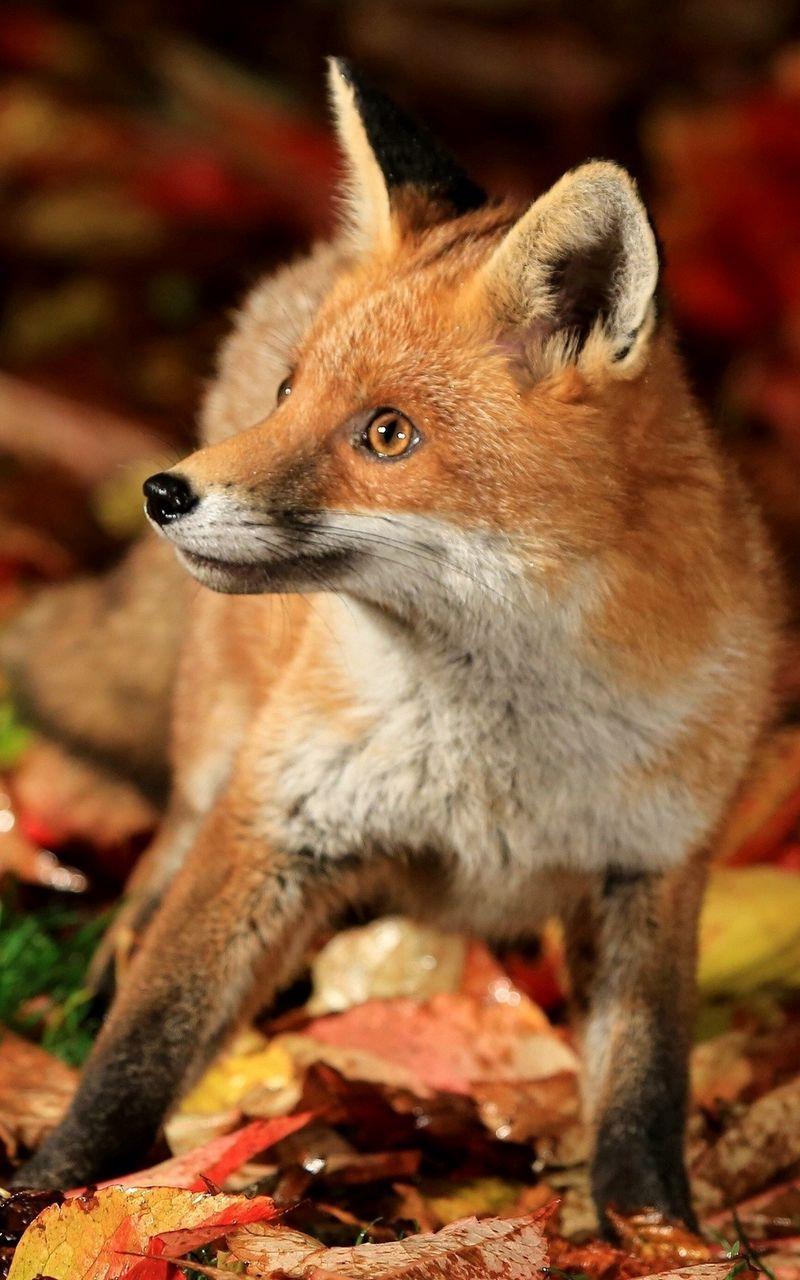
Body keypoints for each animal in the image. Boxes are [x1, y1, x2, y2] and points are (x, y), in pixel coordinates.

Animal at [10, 60, 781, 1231]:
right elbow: (147, 1039)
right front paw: (55, 1188)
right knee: (152, 878)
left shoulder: (650, 867)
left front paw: (655, 1234)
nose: (163, 491)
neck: (496, 756)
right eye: (290, 394)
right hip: (217, 753)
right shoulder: (274, 822)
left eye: (386, 434)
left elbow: (644, 1091)